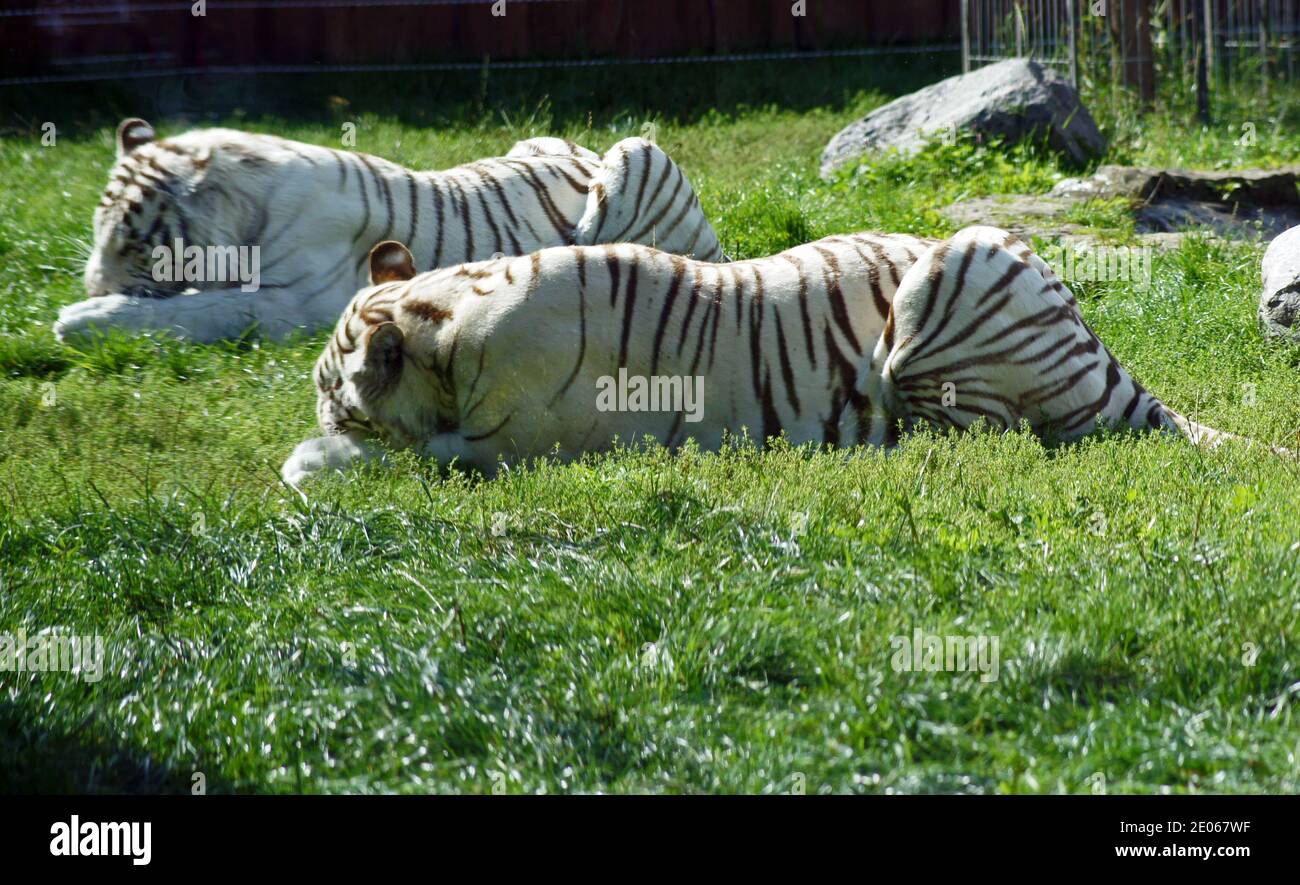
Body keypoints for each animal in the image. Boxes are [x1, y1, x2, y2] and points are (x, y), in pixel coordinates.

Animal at [54, 118, 723, 344]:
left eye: (133, 242)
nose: (92, 287)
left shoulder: (291, 304)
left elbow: (193, 312)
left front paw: (80, 320)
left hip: (634, 151)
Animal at [280, 225, 1242, 486]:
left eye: (333, 395)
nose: (326, 409)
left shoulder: (502, 446)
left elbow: (392, 455)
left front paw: (307, 461)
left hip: (946, 279)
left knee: (987, 437)